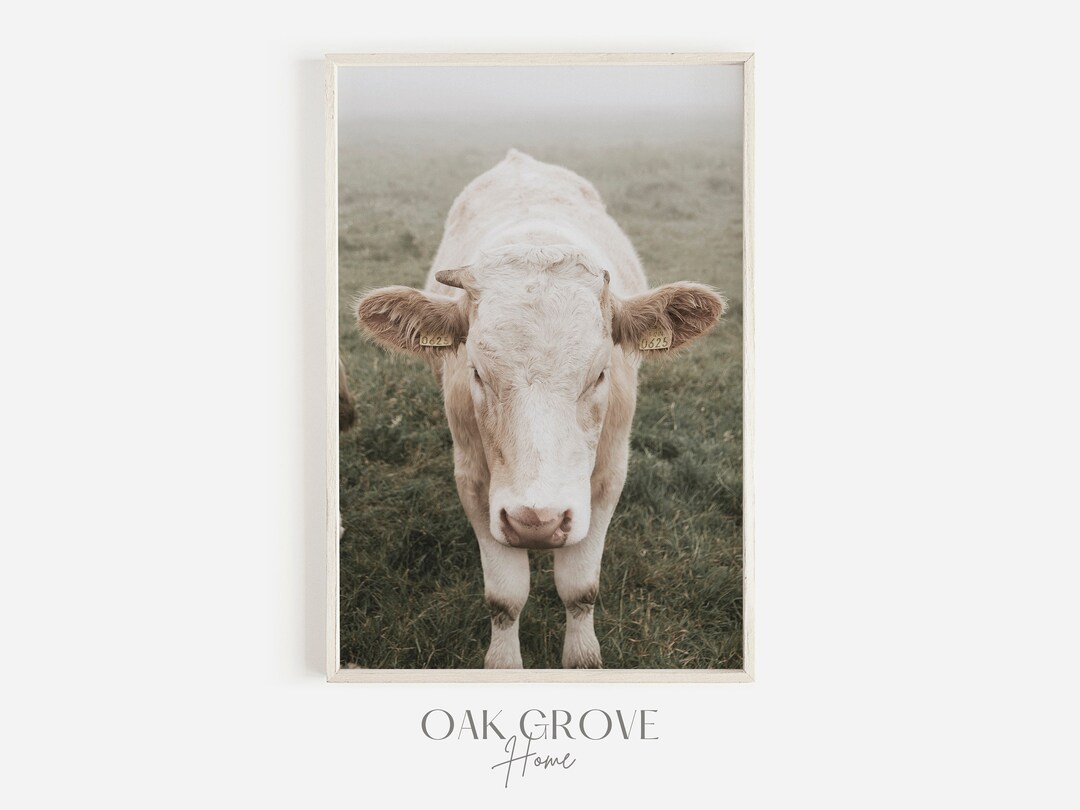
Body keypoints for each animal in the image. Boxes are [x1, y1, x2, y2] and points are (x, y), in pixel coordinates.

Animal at [355, 149, 726, 668]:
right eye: (476, 373)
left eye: (600, 373)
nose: (538, 522)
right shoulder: (474, 480)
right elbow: (505, 597)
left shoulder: (607, 476)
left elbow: (580, 589)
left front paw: (583, 655)